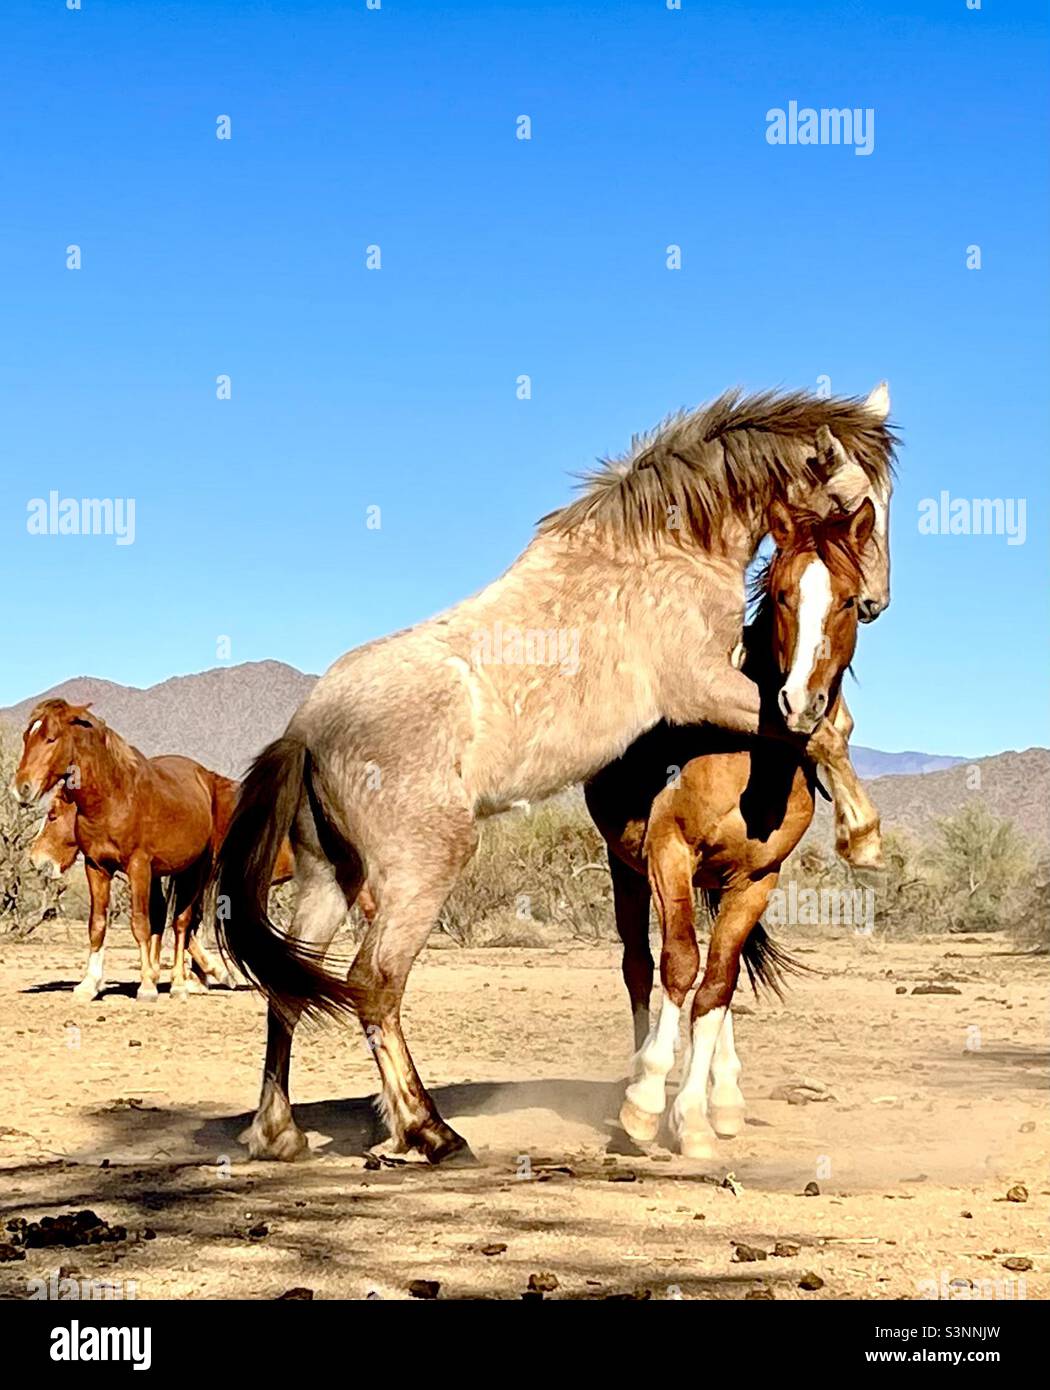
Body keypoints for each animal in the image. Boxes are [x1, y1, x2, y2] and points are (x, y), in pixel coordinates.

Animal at [585, 498, 874, 1157]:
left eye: (850, 600)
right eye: (784, 594)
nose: (800, 705)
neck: (750, 759)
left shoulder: (758, 879)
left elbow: (717, 983)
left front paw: (693, 1115)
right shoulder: (669, 853)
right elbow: (678, 965)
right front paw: (646, 1102)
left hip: (718, 884)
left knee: (720, 979)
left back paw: (724, 1096)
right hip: (627, 869)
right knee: (640, 967)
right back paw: (638, 1075)